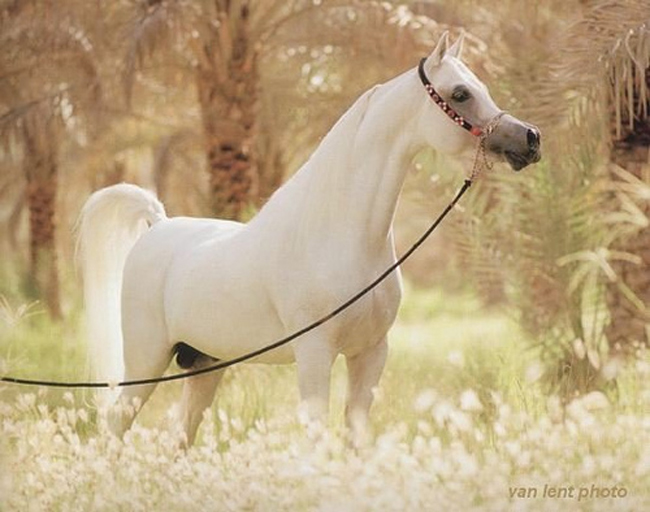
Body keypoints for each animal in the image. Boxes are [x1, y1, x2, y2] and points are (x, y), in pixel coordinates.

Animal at [77, 32, 541, 447]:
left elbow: (356, 438)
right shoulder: (316, 354)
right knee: (115, 428)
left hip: (207, 364)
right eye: (461, 93)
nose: (531, 139)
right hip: (147, 360)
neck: (343, 237)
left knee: (180, 438)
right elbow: (317, 438)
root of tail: (158, 224)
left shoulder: (371, 352)